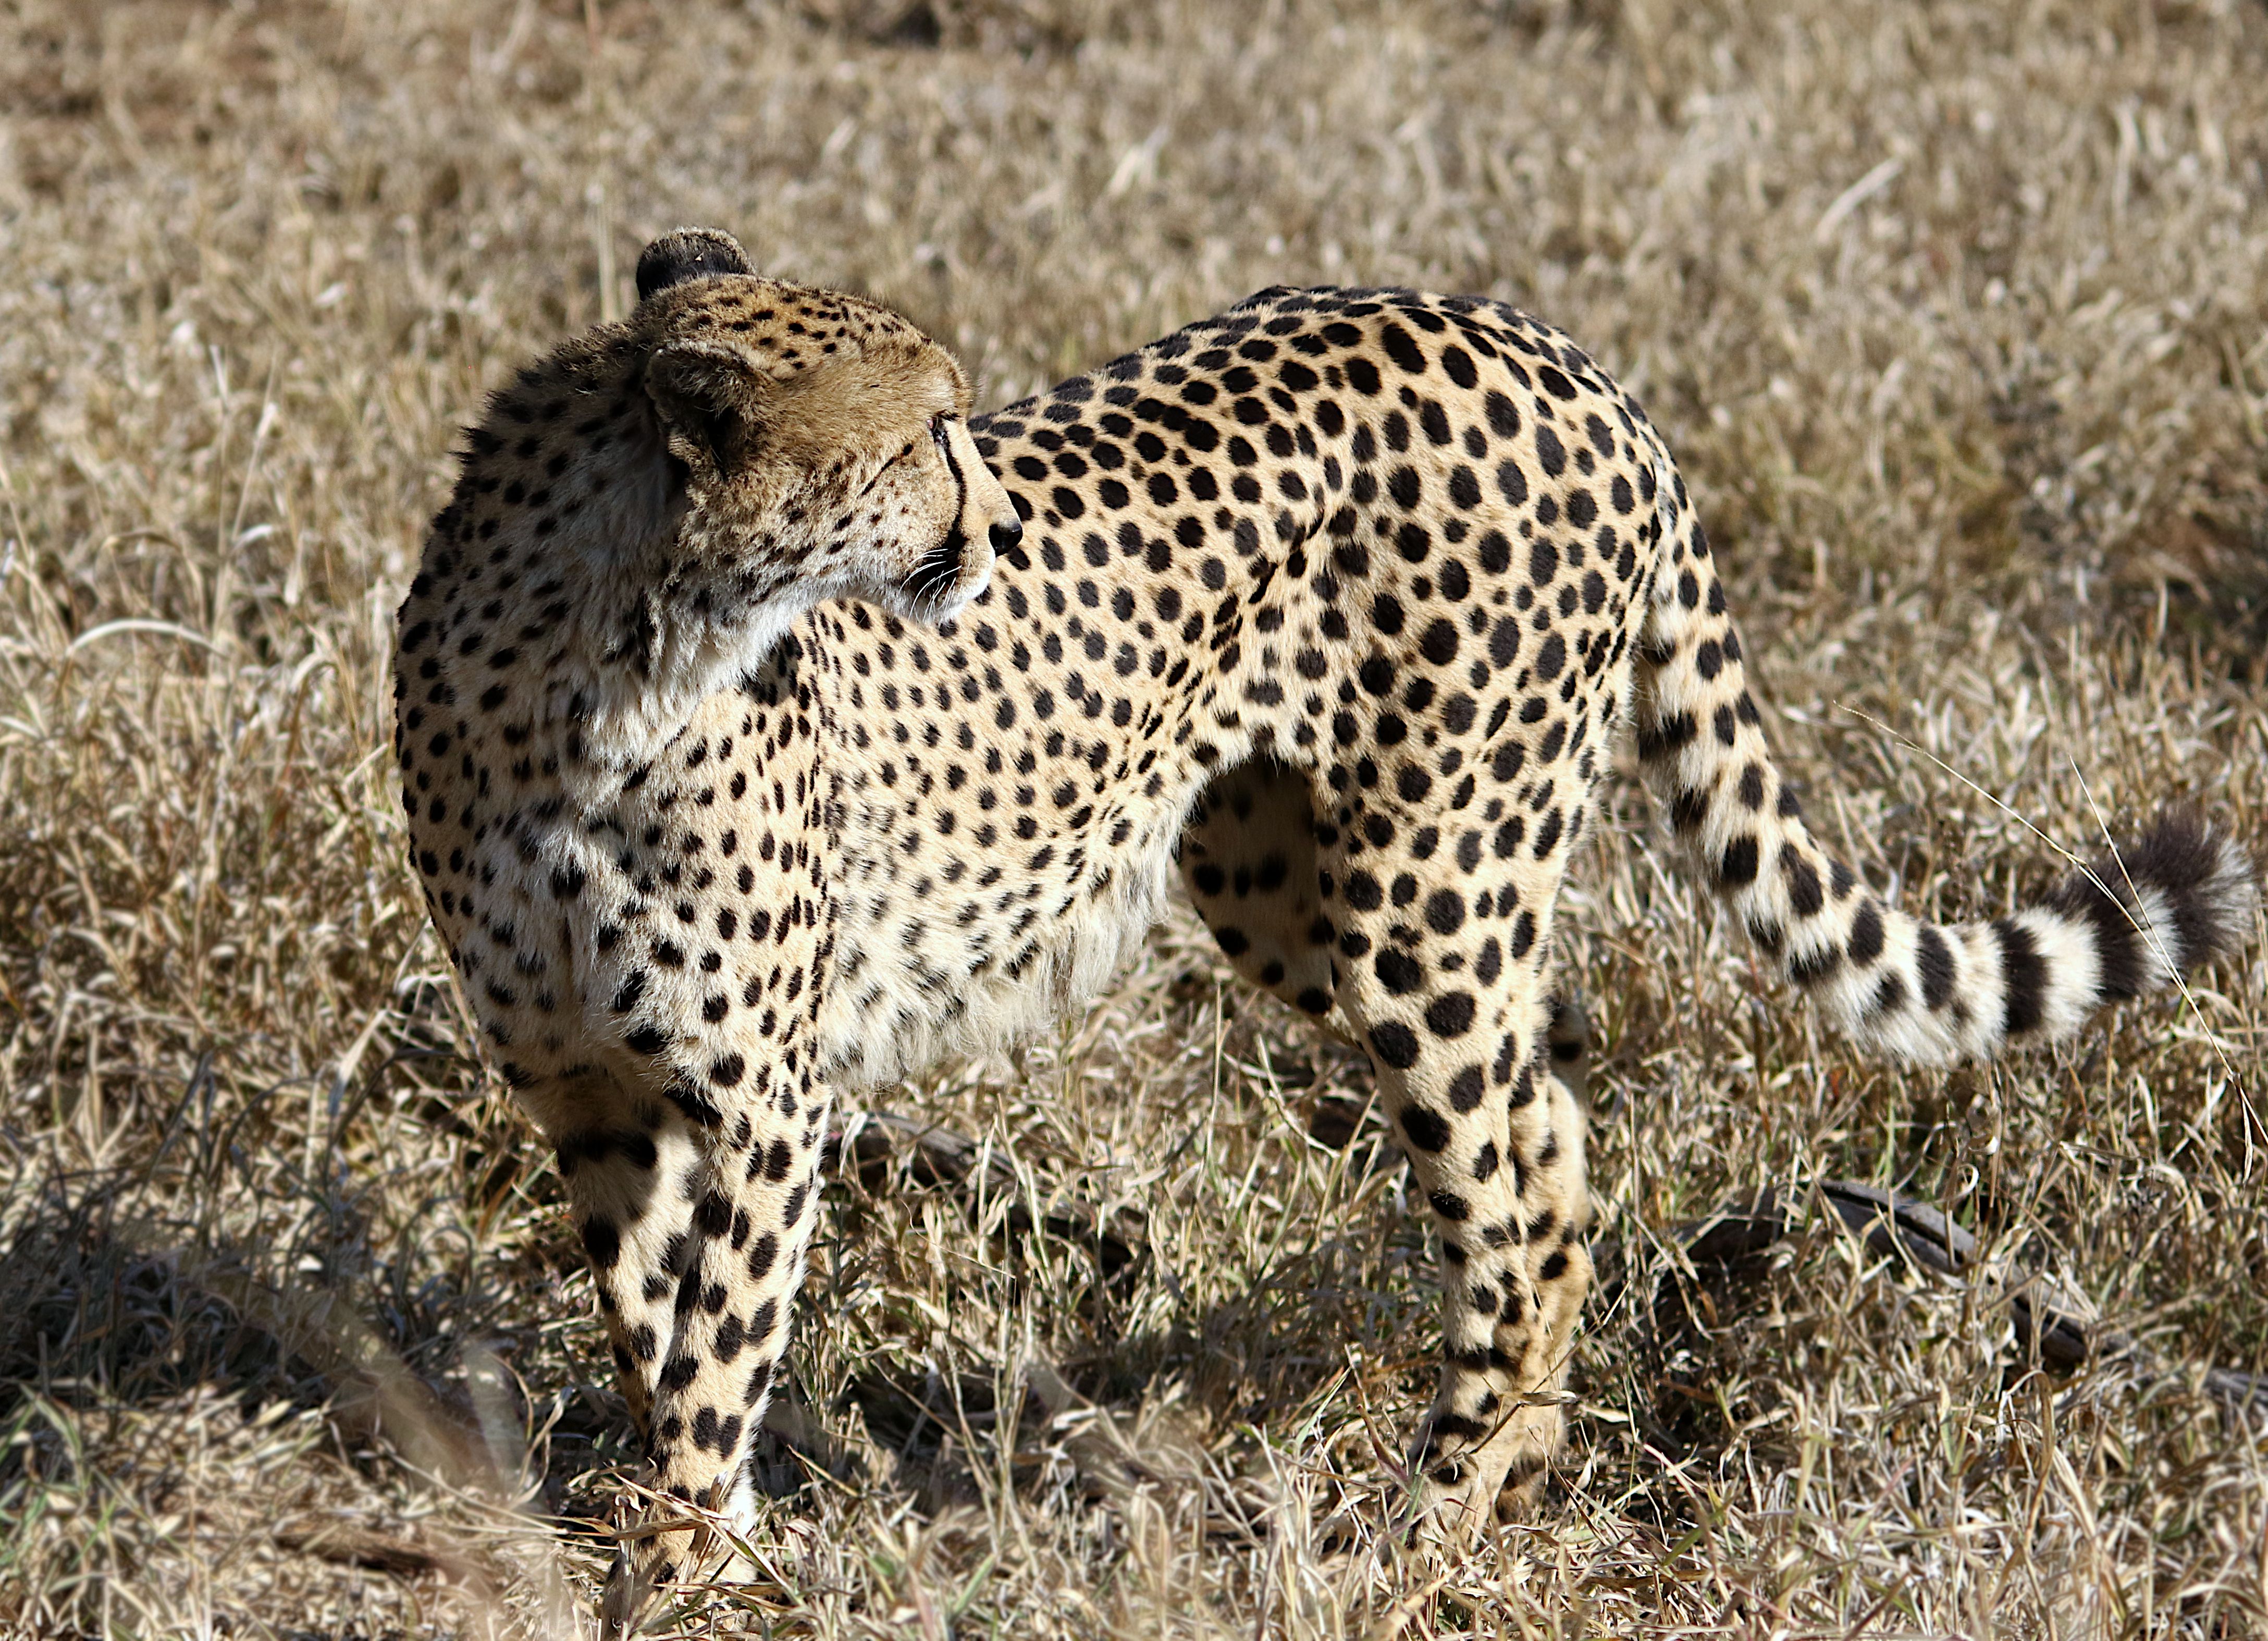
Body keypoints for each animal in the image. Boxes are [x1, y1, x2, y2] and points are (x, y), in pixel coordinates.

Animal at [392, 227, 2259, 1633]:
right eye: (925, 433)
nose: (996, 528)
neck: (606, 654)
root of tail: (1551, 349)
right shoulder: (588, 1095)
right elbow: (651, 1327)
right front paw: (672, 1537)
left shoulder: (762, 1101)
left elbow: (713, 1355)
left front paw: (687, 1566)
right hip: (1283, 881)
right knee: (1553, 1124)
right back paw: (1522, 1457)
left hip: (1427, 890)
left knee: (1508, 1192)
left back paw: (1424, 1523)